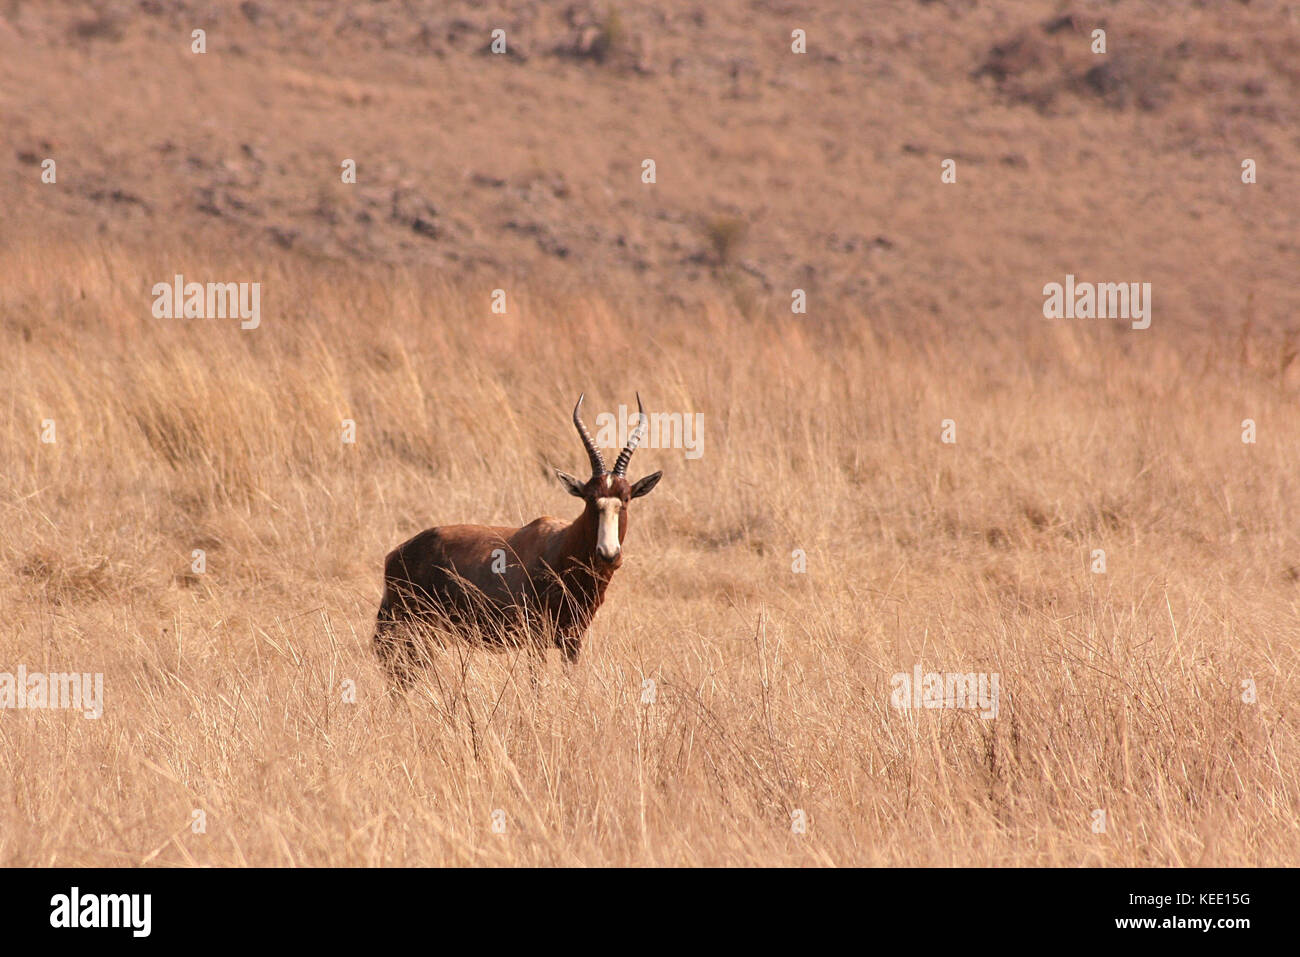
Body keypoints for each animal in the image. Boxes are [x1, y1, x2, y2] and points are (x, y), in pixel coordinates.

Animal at [373, 393, 662, 684]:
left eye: (626, 499)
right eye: (590, 498)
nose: (609, 553)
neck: (561, 546)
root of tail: (396, 554)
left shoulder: (573, 639)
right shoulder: (536, 640)